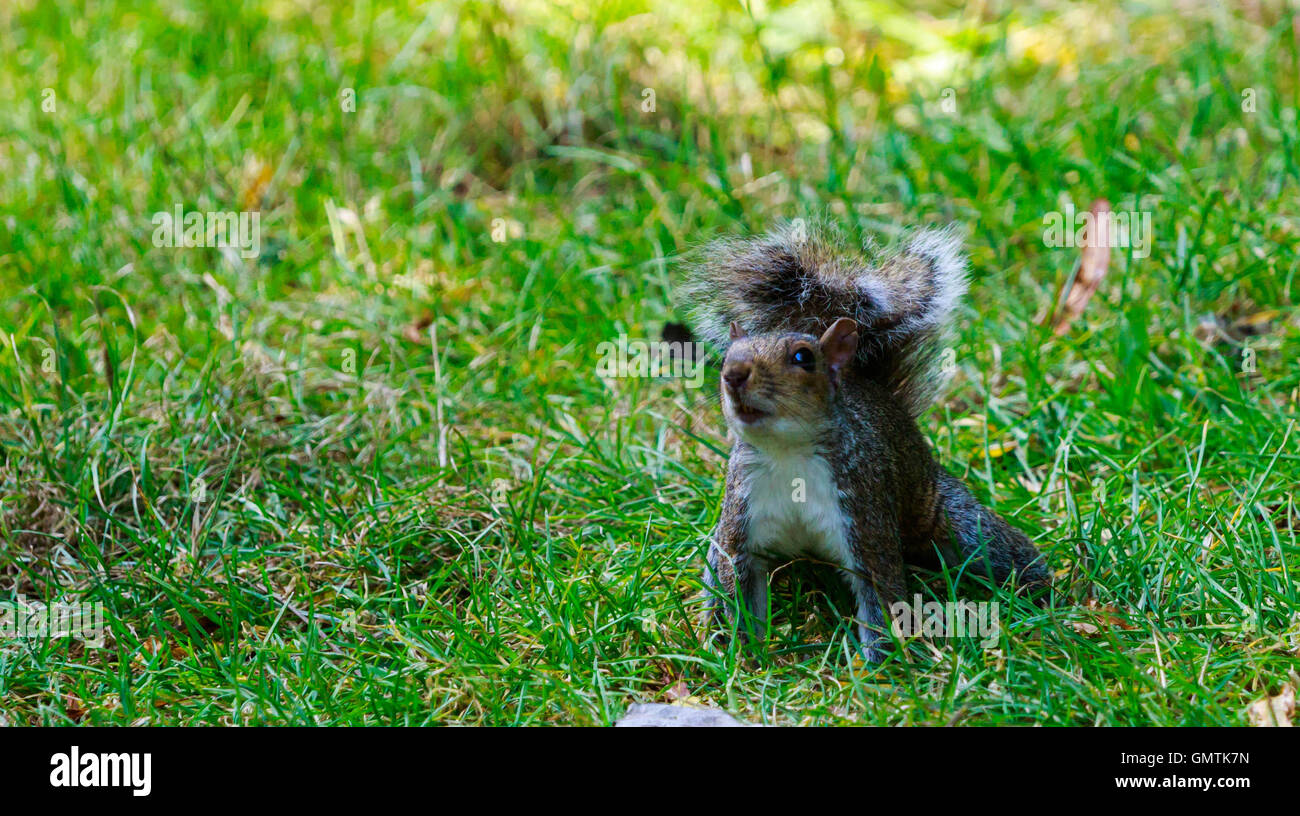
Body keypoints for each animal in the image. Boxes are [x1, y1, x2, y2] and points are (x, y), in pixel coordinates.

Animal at [683, 222, 1051, 662]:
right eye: (726, 357)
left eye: (803, 357)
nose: (733, 375)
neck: (788, 454)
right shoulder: (740, 523)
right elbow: (736, 587)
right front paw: (741, 653)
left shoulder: (865, 516)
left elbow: (882, 597)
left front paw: (878, 665)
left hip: (954, 521)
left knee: (994, 548)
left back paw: (1045, 589)